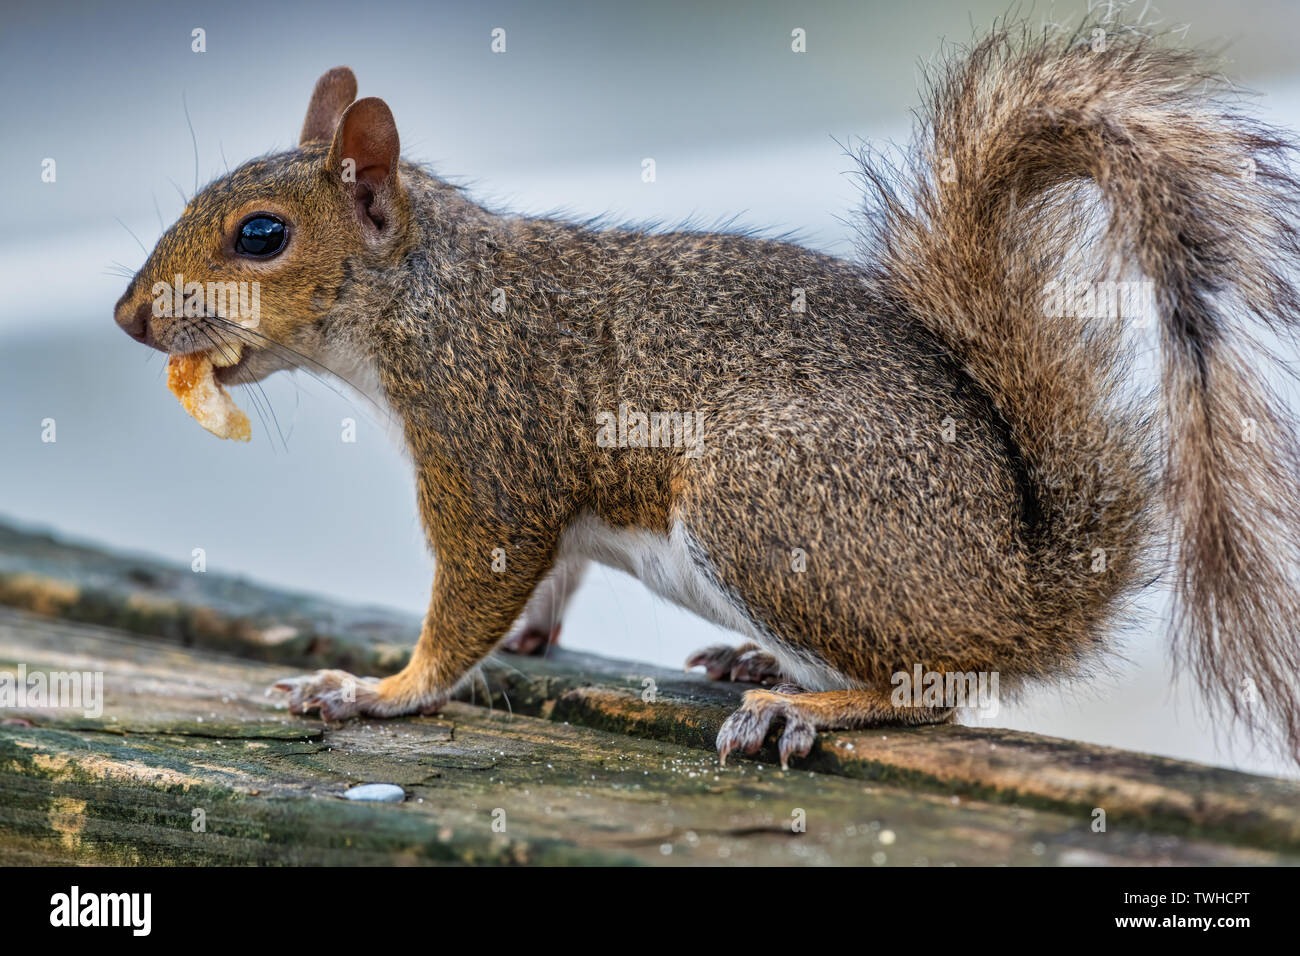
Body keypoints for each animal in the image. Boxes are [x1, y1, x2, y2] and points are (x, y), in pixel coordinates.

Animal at [114, 18, 1300, 769]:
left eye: (260, 236)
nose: (130, 318)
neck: (422, 296)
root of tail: (1019, 592)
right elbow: (545, 583)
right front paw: (529, 641)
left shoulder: (488, 447)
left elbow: (473, 597)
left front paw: (377, 689)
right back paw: (753, 660)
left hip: (761, 500)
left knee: (937, 694)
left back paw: (796, 706)